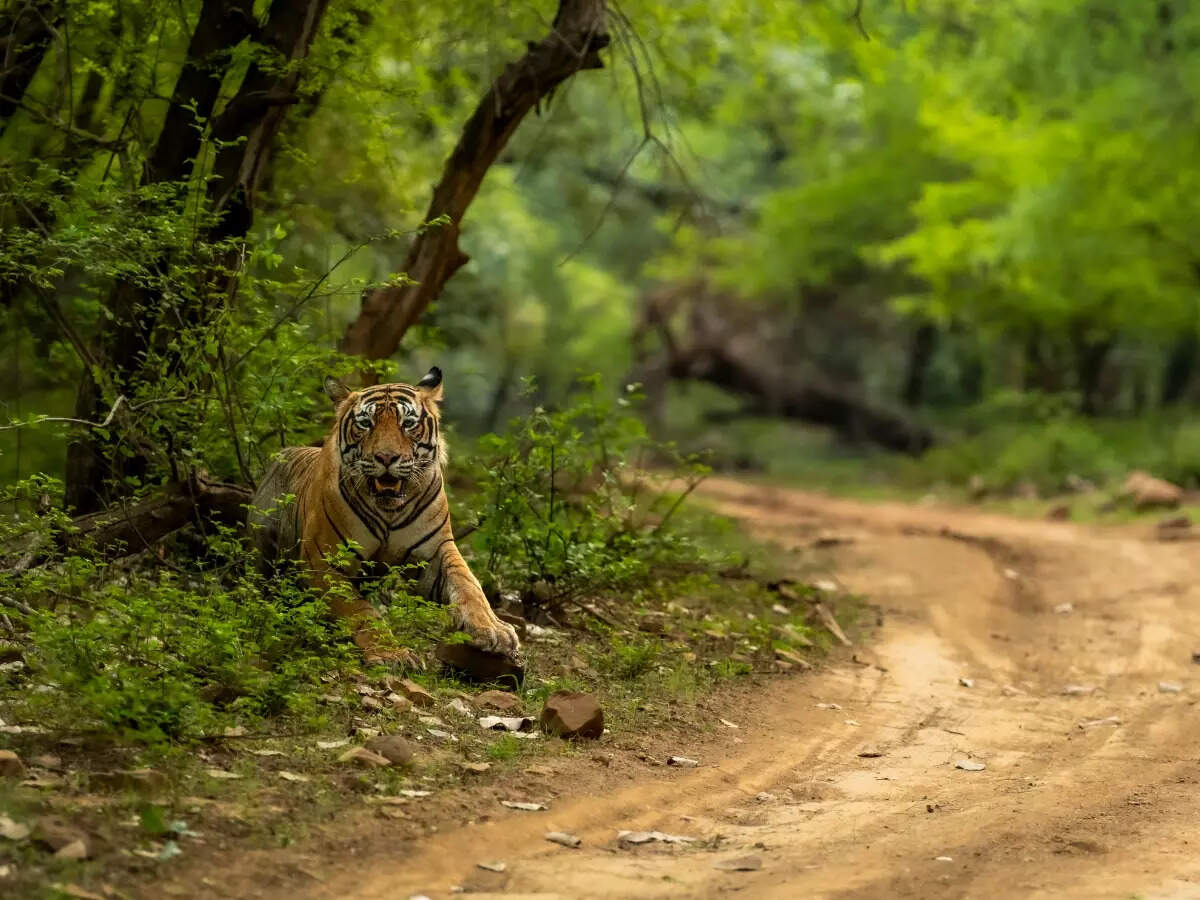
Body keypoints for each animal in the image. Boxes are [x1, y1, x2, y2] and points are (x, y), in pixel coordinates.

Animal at [248, 367, 520, 667]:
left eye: (408, 423)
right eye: (366, 423)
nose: (386, 457)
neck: (389, 508)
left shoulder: (437, 550)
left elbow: (468, 583)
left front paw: (493, 629)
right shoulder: (324, 561)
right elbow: (360, 611)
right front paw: (393, 654)